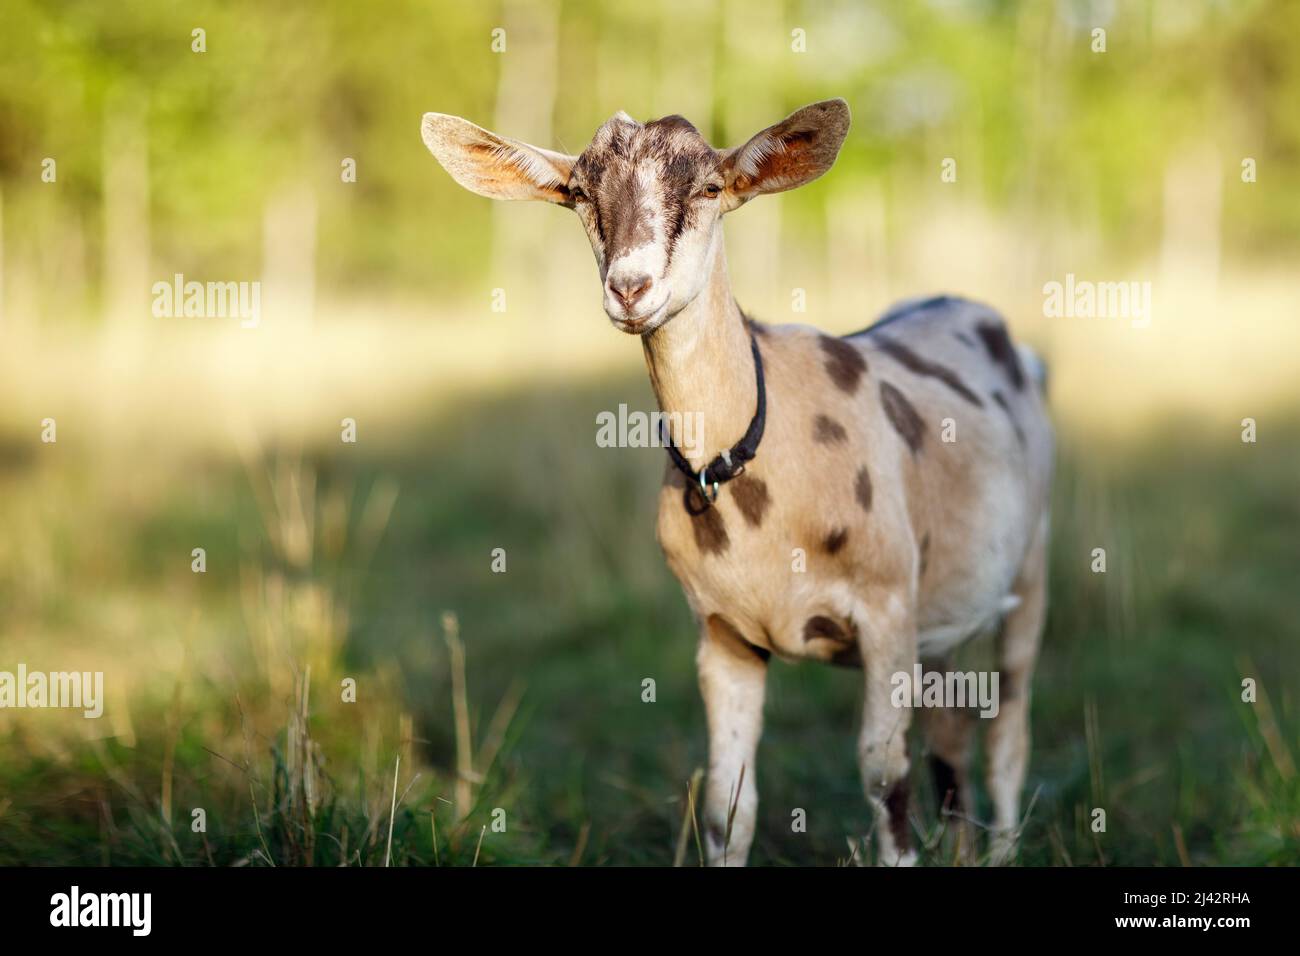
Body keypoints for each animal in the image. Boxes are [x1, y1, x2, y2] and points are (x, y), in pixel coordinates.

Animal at [421, 99, 1053, 866]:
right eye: (579, 192)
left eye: (711, 188)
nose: (630, 288)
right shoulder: (722, 633)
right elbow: (727, 800)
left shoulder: (886, 611)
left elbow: (885, 776)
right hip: (944, 618)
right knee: (954, 737)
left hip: (1030, 567)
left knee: (1009, 735)